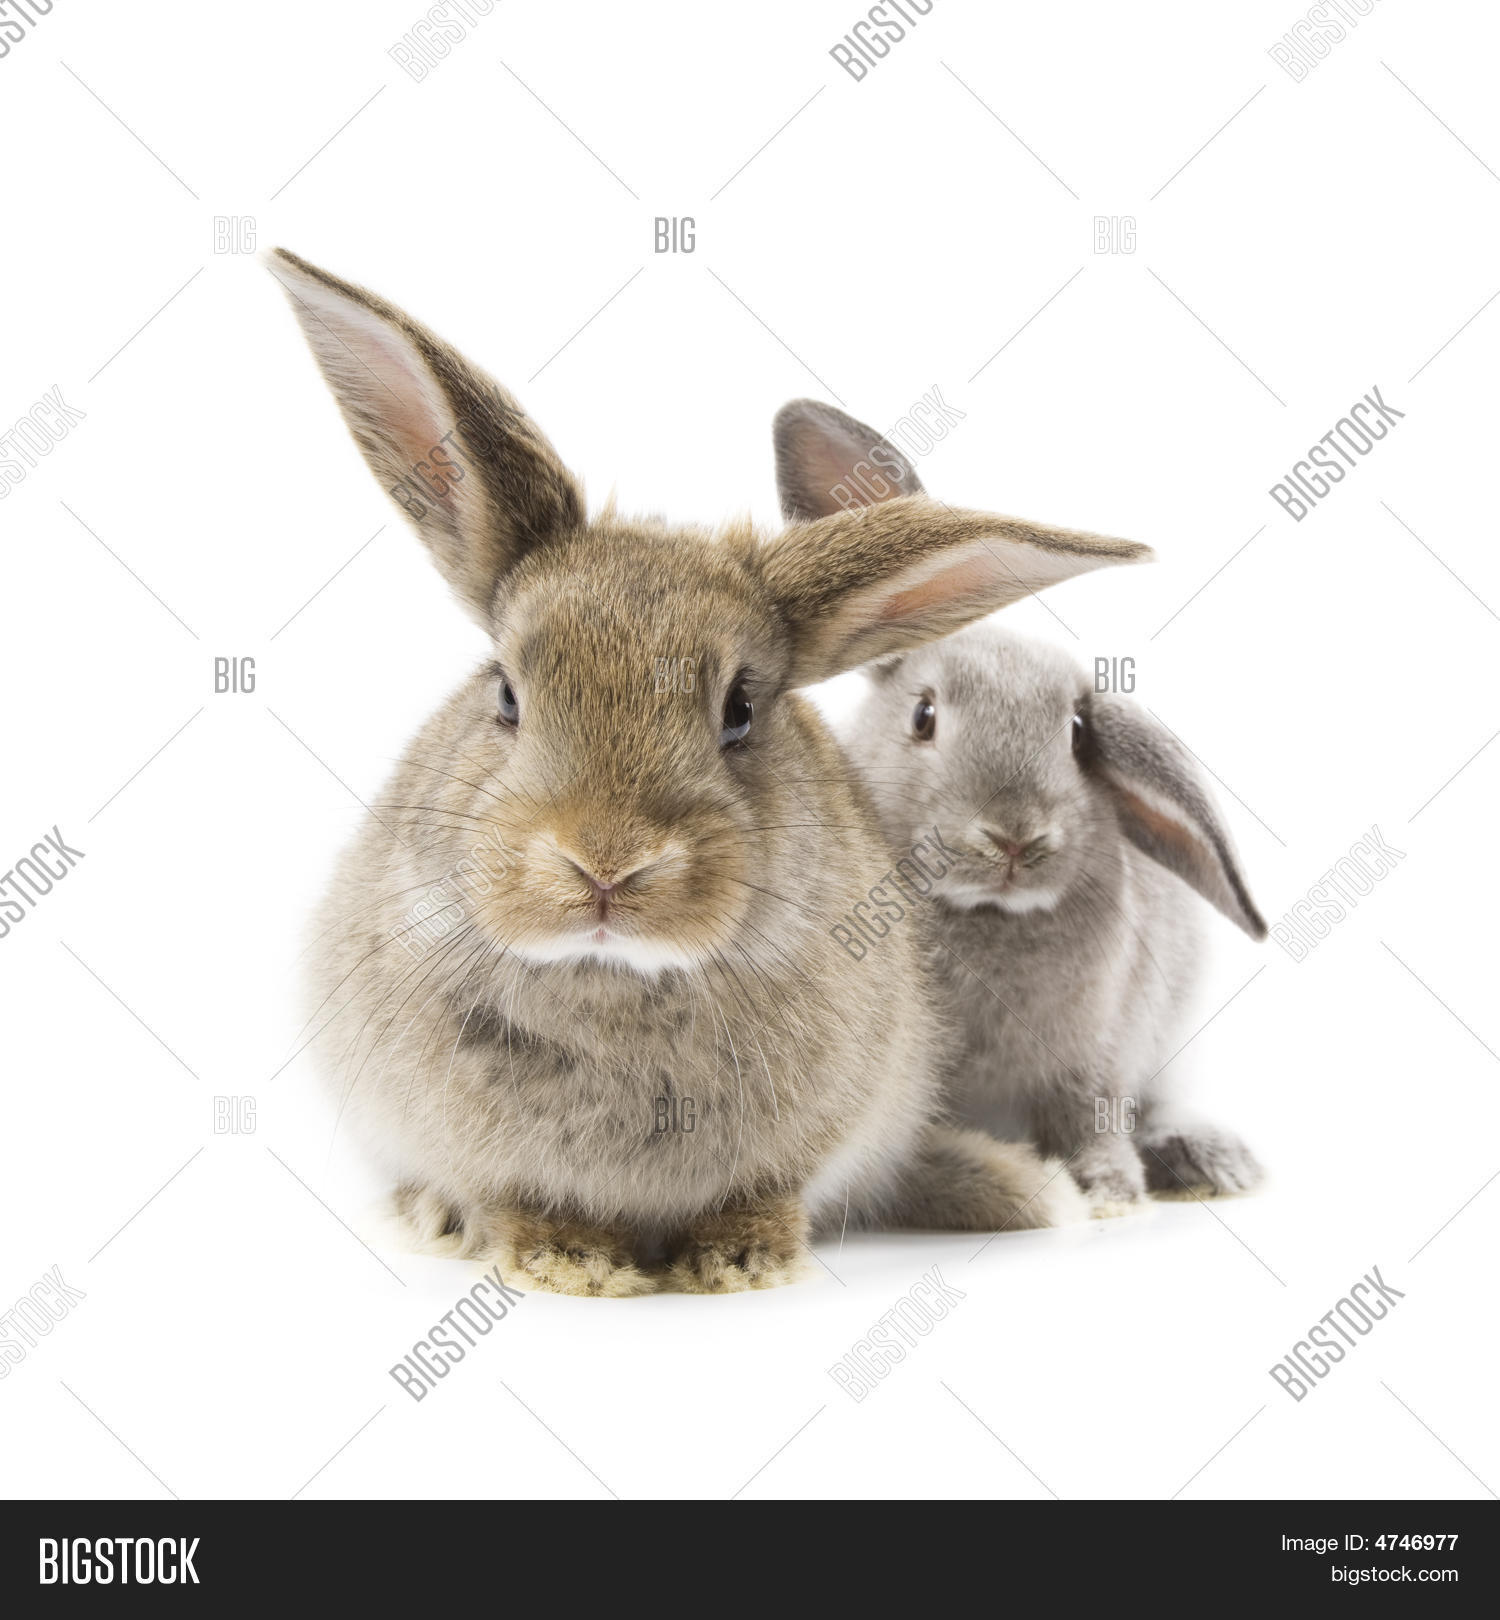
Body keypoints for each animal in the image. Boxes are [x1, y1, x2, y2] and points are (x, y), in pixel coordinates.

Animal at [268, 251, 1149, 1295]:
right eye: (507, 693)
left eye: (740, 710)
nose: (605, 865)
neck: (615, 981)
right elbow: (523, 1200)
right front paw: (573, 1264)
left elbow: (763, 1194)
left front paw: (740, 1261)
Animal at [772, 400, 1268, 1216]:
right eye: (923, 717)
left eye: (1077, 735)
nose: (1014, 837)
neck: (987, 917)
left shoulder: (1093, 1056)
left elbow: (1089, 1115)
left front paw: (1106, 1190)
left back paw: (1205, 1158)